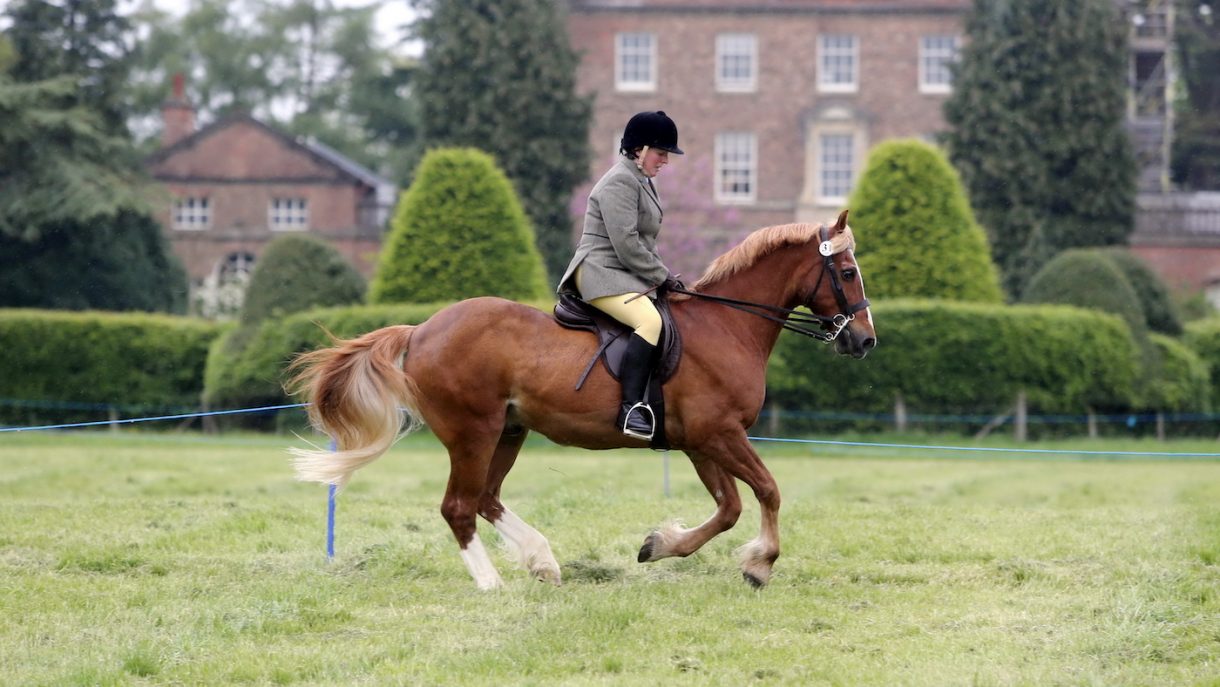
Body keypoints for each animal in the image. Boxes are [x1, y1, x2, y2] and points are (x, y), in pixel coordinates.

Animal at [287, 210, 875, 590]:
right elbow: (768, 491)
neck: (727, 324)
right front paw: (760, 565)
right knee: (458, 507)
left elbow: (729, 507)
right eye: (847, 273)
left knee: (485, 500)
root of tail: (422, 328)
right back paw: (493, 583)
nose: (865, 341)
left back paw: (541, 562)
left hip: (508, 430)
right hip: (472, 433)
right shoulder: (720, 434)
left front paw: (660, 545)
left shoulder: (701, 441)